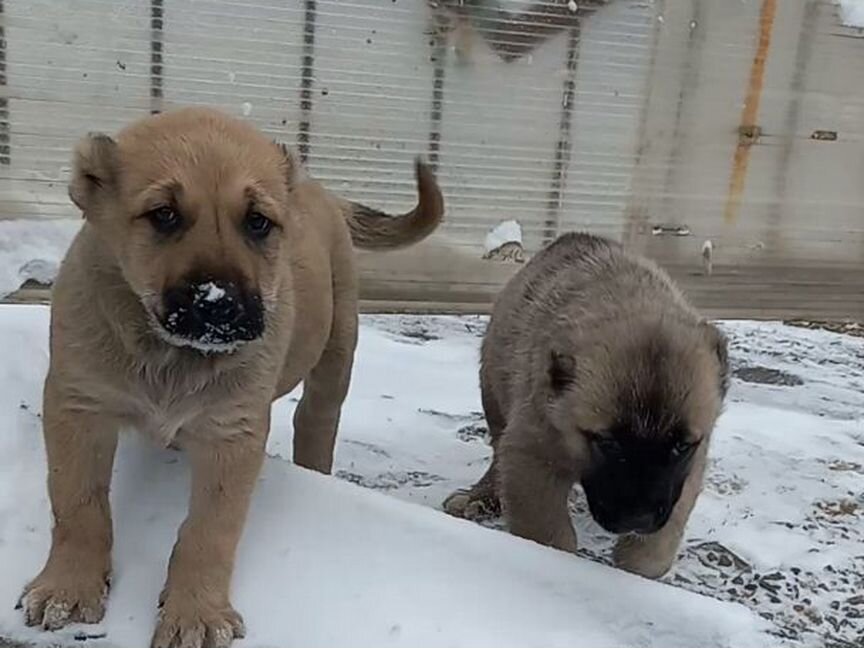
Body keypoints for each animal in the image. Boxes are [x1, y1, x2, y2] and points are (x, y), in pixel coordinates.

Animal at [16, 109, 442, 648]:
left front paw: (195, 614)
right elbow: (77, 503)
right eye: (164, 215)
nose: (219, 305)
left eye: (257, 222)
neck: (171, 355)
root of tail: (318, 188)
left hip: (337, 344)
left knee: (317, 418)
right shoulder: (78, 406)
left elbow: (209, 529)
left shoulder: (231, 432)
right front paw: (69, 588)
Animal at [446, 235, 728, 580]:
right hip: (494, 395)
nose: (638, 520)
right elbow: (549, 533)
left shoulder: (689, 470)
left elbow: (656, 548)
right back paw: (481, 496)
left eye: (681, 446)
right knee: (497, 453)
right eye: (607, 442)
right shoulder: (533, 453)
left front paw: (639, 564)